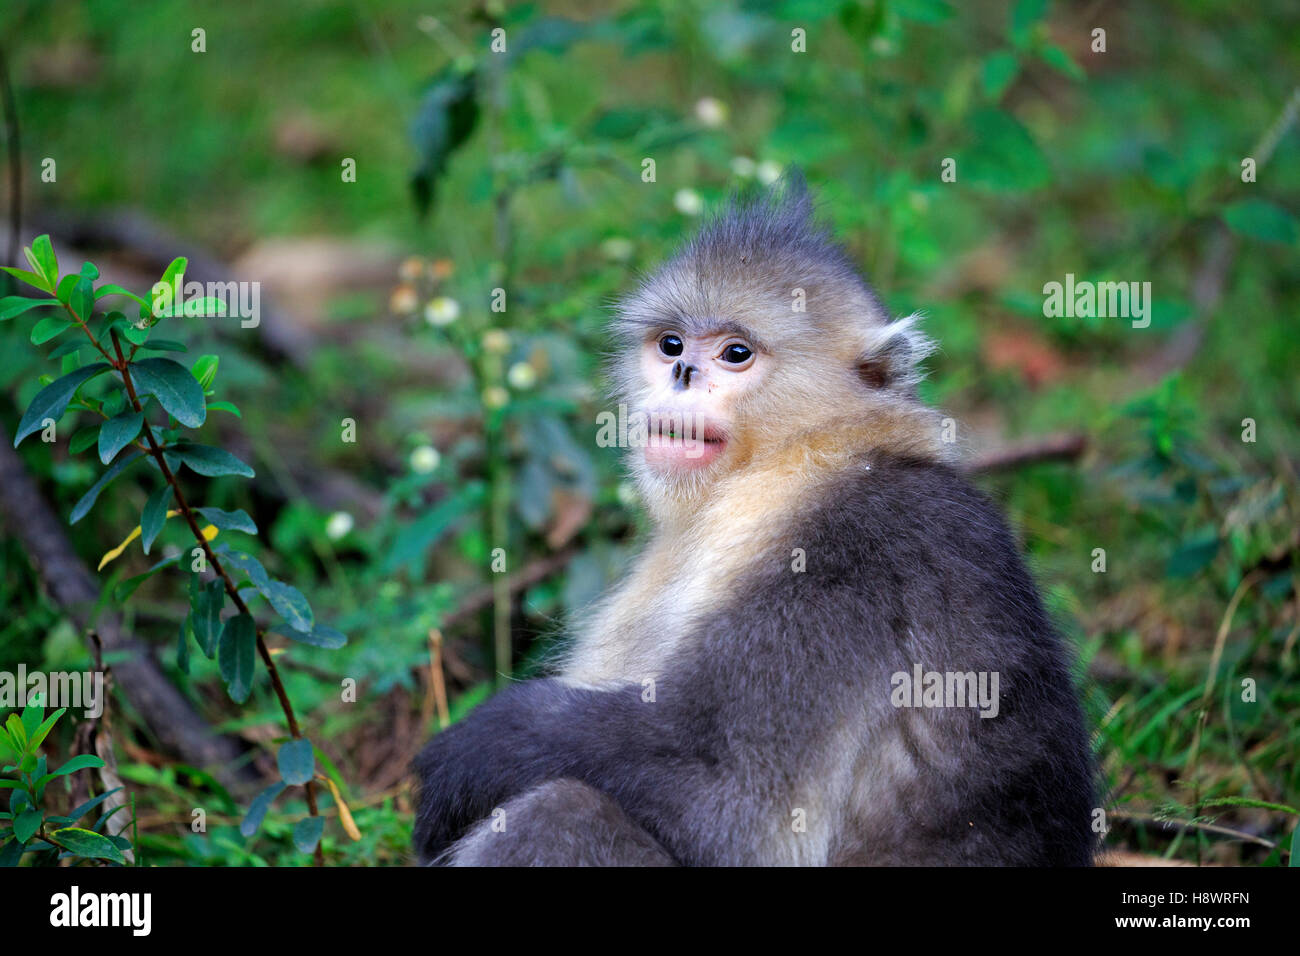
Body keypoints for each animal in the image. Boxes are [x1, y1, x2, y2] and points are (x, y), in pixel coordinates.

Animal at [413, 173, 1095, 866]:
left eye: (735, 353)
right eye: (671, 345)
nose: (683, 373)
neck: (805, 458)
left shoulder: (848, 557)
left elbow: (728, 803)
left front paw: (471, 753)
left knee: (556, 813)